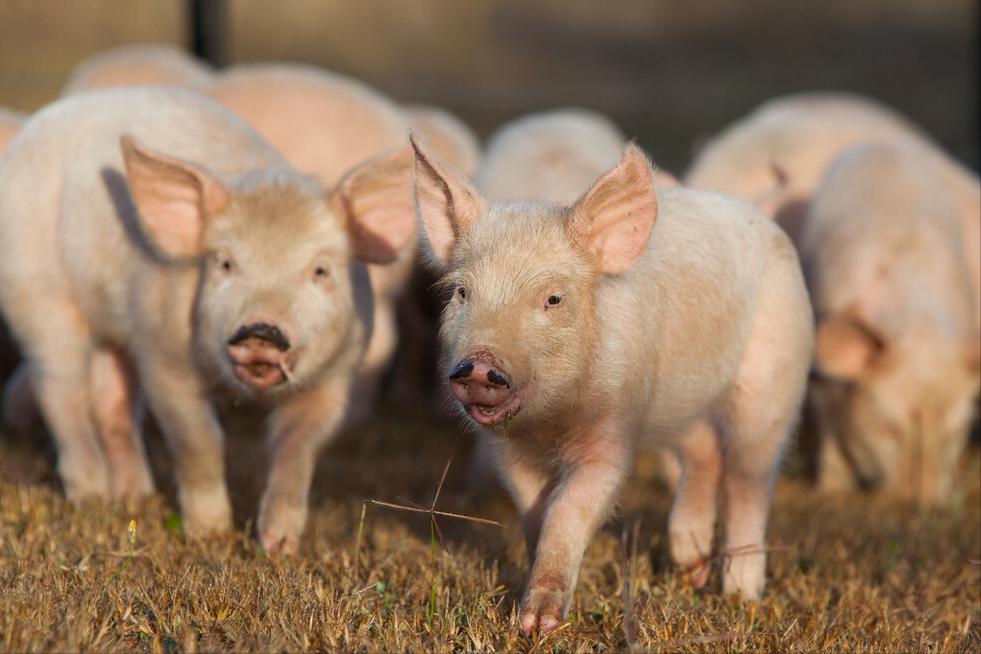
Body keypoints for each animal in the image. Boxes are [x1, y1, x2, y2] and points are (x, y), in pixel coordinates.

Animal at [411, 137, 813, 633]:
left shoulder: (613, 432)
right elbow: (534, 510)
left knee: (749, 480)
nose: (480, 366)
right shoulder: (510, 453)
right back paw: (692, 569)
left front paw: (539, 625)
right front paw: (526, 618)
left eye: (553, 298)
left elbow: (568, 509)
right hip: (681, 403)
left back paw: (741, 595)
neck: (552, 423)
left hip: (774, 379)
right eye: (462, 292)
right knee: (706, 453)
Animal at [801, 142, 980, 504]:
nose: (925, 504)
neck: (919, 324)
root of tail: (883, 145)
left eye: (954, 430)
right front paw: (831, 492)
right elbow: (829, 432)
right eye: (889, 428)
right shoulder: (824, 381)